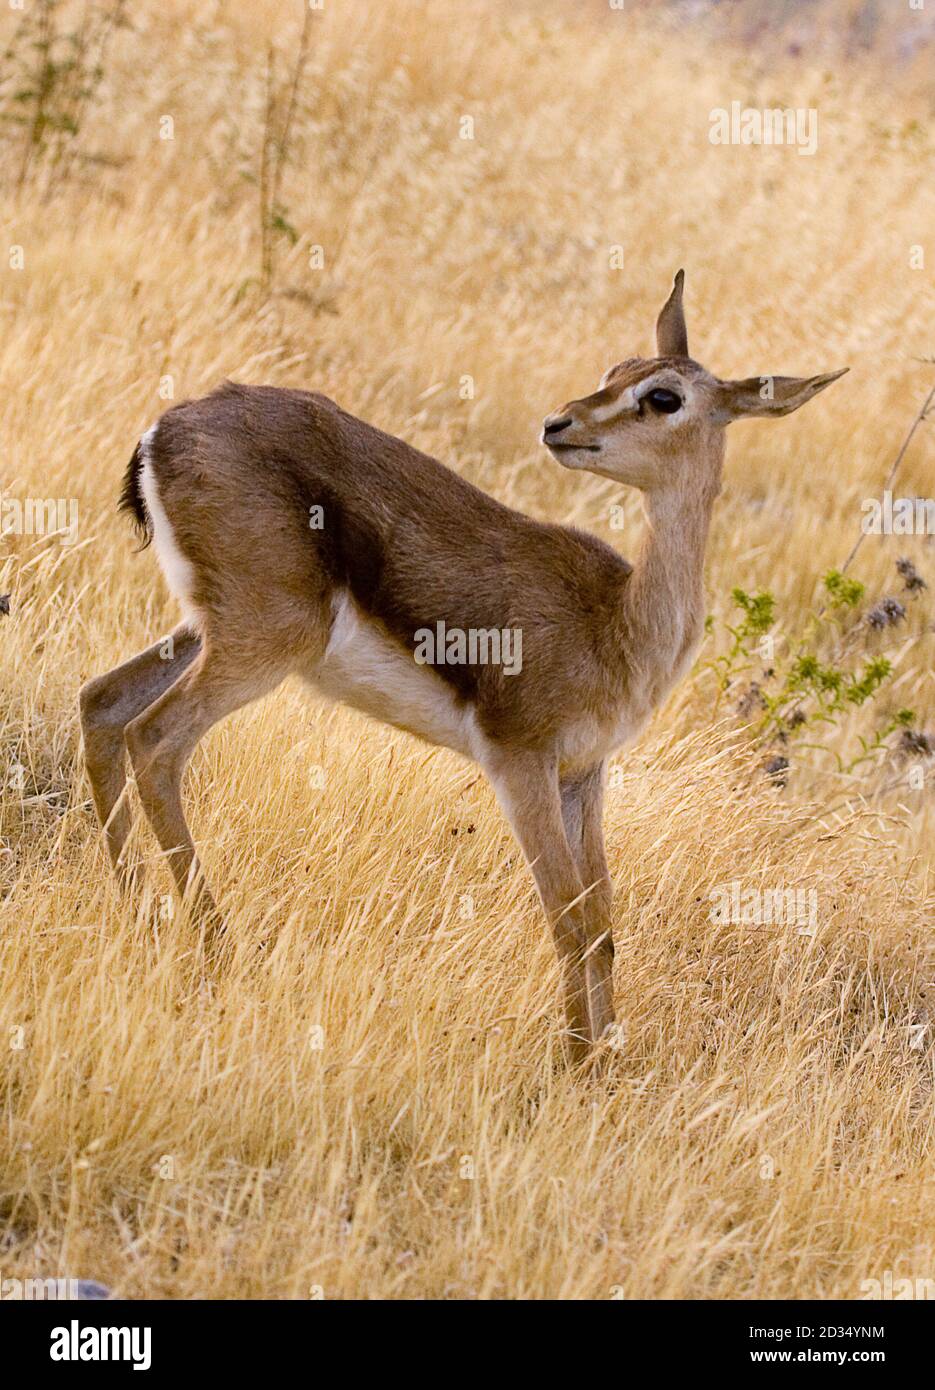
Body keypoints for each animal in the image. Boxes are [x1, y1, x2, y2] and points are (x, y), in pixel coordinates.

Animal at [79, 272, 846, 1062]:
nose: (559, 424)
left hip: (209, 630)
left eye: (660, 393)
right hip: (261, 644)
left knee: (102, 703)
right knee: (154, 740)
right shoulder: (518, 763)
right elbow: (567, 919)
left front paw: (605, 1058)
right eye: (619, 373)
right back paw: (219, 952)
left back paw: (139, 919)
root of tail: (165, 431)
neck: (618, 624)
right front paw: (574, 1064)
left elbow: (601, 920)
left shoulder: (581, 775)